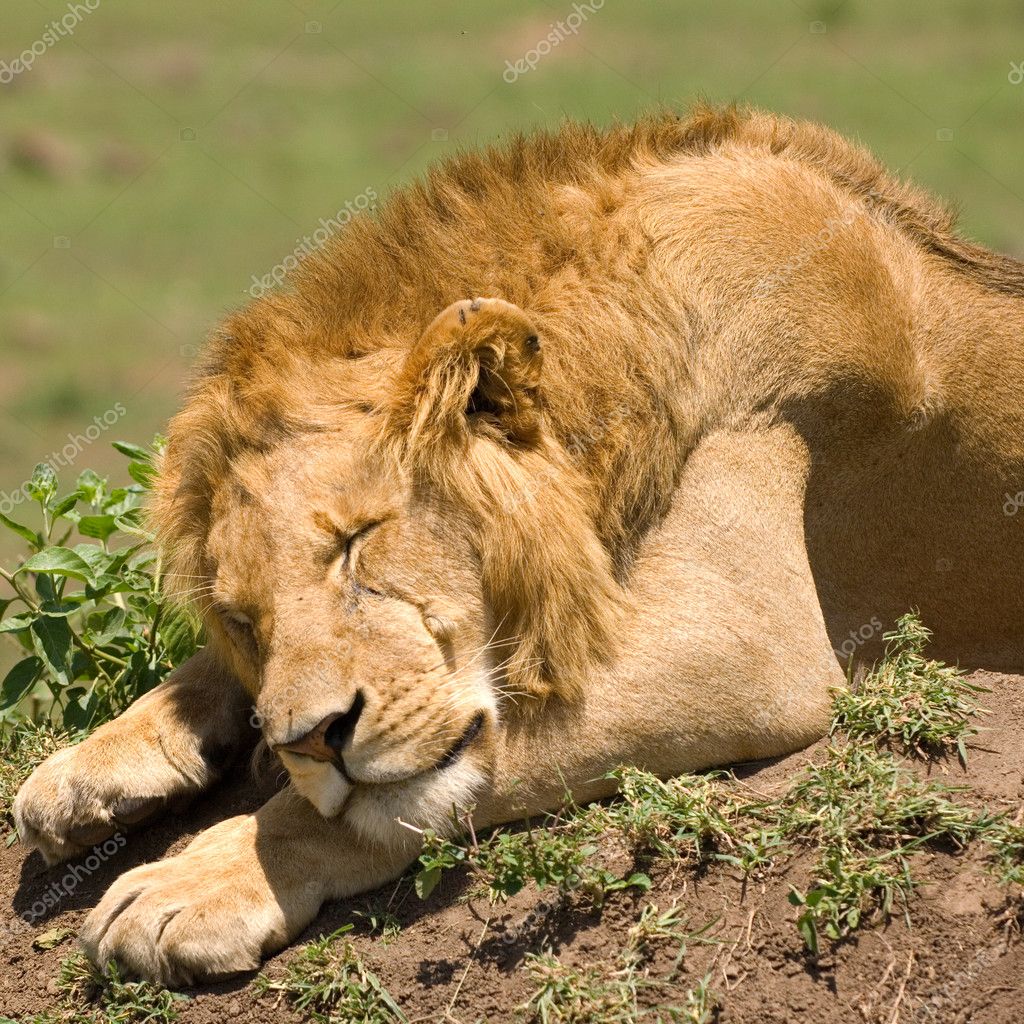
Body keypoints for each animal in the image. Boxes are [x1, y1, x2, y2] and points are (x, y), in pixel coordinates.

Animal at [13, 106, 1024, 984]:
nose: (314, 741)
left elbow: (403, 791)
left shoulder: (747, 644)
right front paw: (90, 768)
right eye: (241, 619)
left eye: (357, 542)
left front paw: (194, 882)